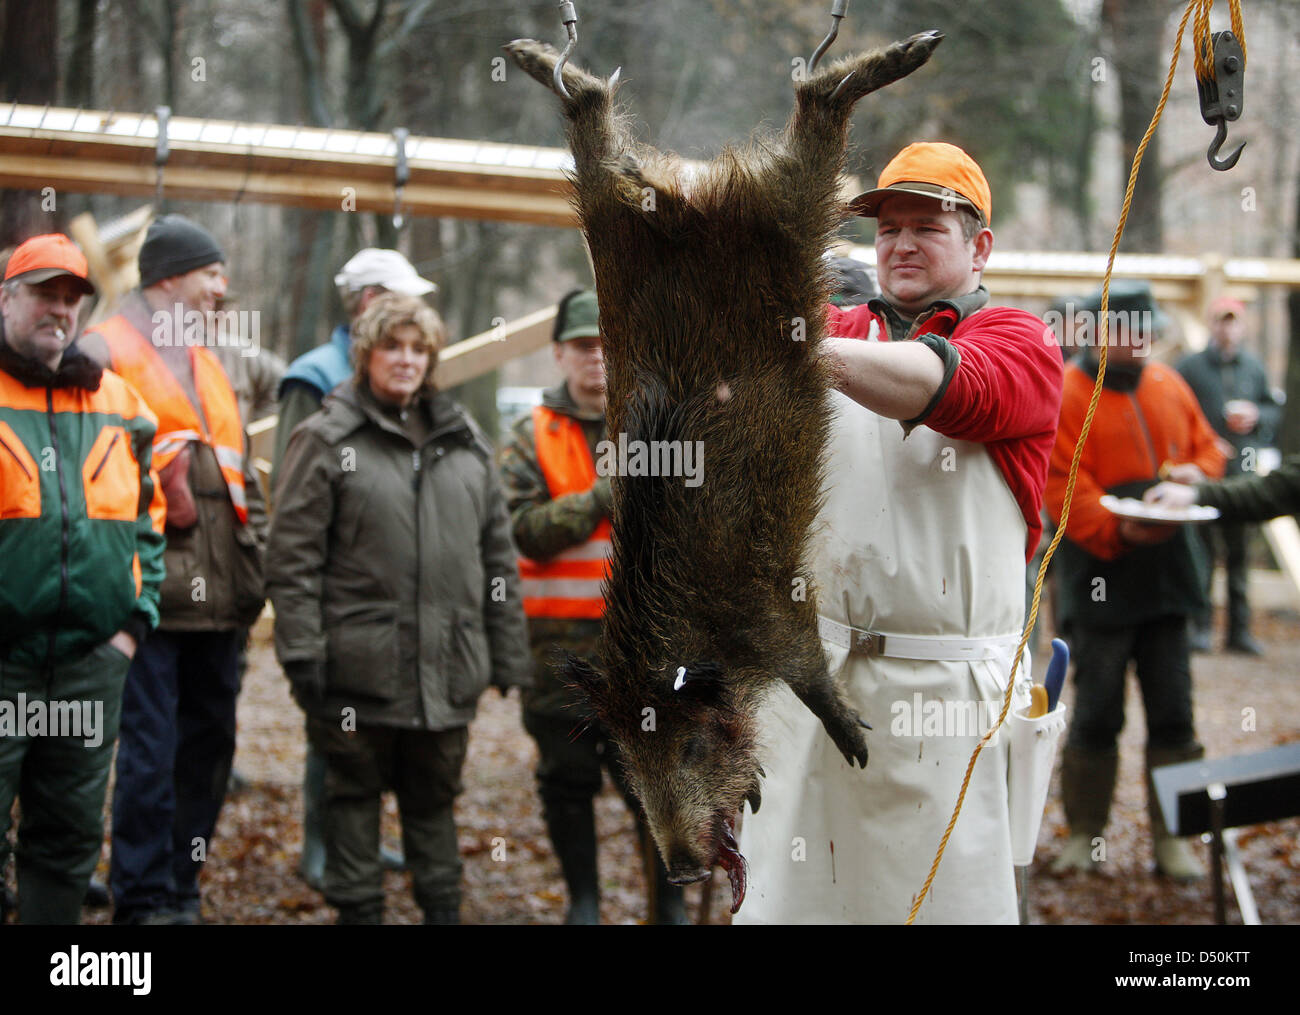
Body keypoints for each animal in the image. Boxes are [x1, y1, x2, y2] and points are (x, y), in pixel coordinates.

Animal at [505, 28, 941, 913]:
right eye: (626, 759)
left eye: (689, 749)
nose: (679, 867)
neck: (692, 634)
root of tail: (689, 207)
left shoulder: (775, 603)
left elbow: (810, 671)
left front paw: (856, 746)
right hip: (606, 210)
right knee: (593, 112)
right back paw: (534, 56)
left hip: (788, 209)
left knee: (821, 107)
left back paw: (916, 50)